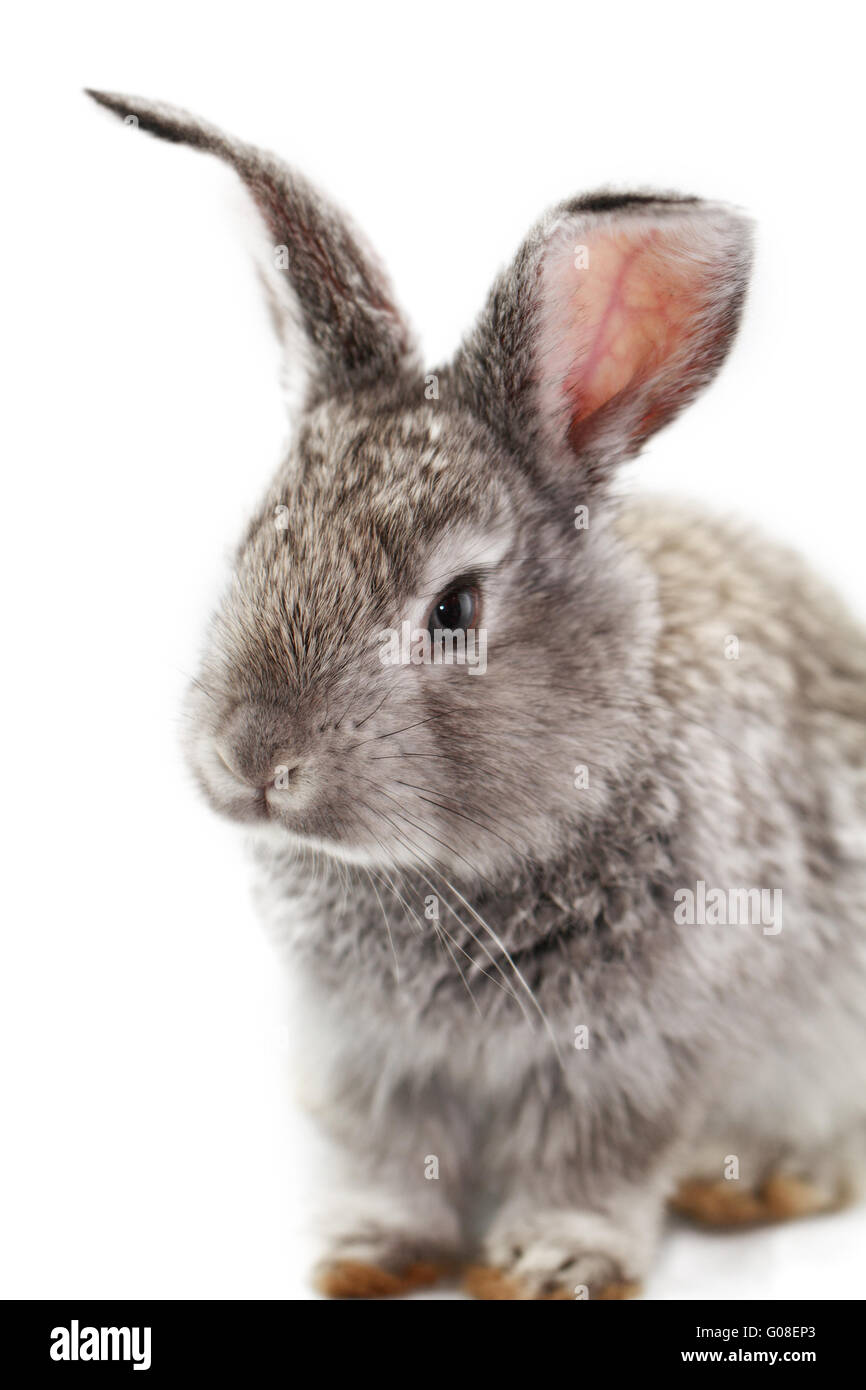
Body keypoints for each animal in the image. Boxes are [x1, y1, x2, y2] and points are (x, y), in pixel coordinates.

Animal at [88, 89, 866, 1300]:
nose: (251, 758)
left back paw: (755, 1184)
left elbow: (593, 1163)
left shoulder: (632, 1055)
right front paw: (369, 1256)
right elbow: (389, 1162)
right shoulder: (370, 1063)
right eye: (252, 545)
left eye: (453, 609)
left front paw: (551, 1262)